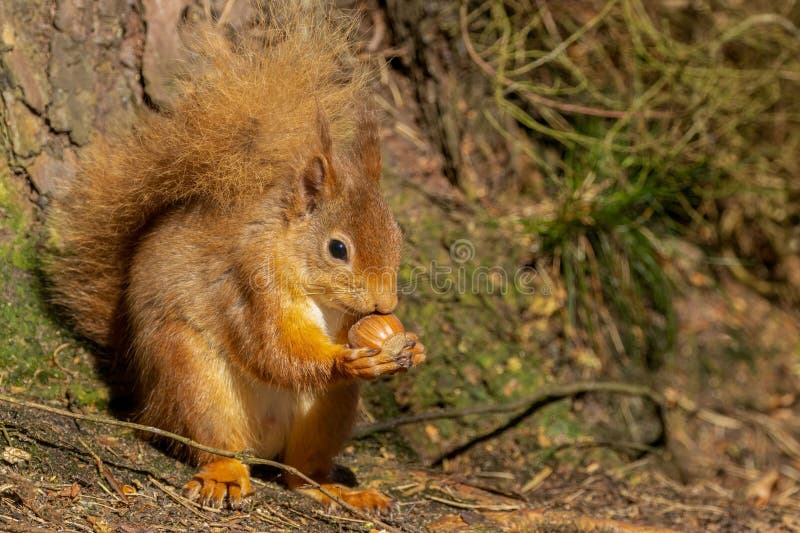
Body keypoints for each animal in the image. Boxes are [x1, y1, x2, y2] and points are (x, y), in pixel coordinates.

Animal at [47, 4, 425, 511]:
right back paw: (224, 475)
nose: (386, 306)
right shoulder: (249, 285)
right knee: (216, 443)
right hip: (195, 380)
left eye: (397, 235)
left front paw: (413, 348)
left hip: (326, 414)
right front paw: (348, 363)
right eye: (338, 248)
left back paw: (335, 489)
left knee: (300, 475)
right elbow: (273, 351)